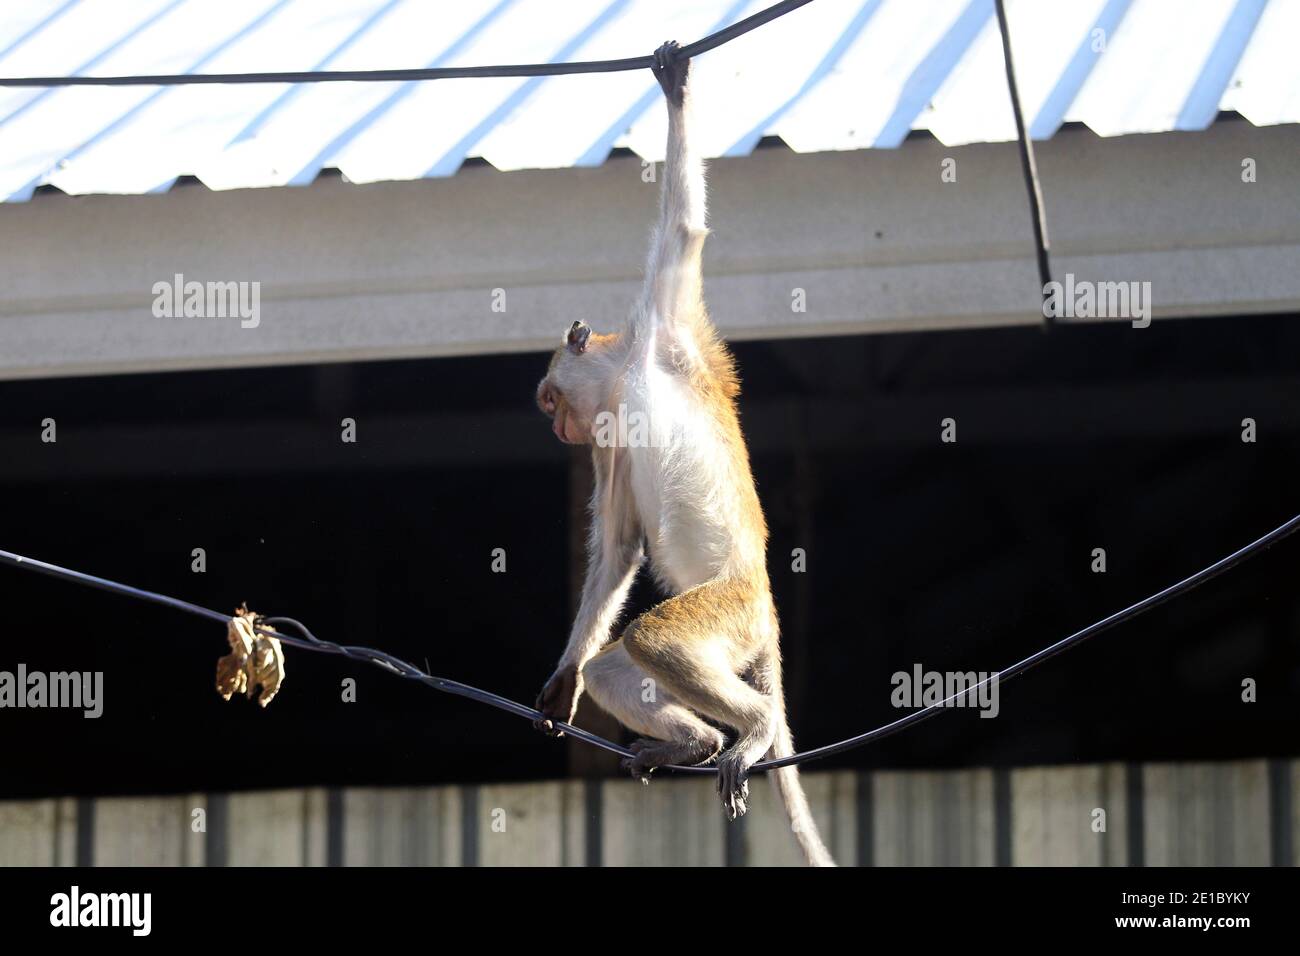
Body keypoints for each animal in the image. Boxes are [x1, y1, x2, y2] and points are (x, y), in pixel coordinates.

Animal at [533, 42, 835, 867]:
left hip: (732, 612)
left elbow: (685, 227)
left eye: (548, 400)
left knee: (656, 637)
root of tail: (765, 606)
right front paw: (565, 675)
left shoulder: (665, 317)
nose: (554, 426)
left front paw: (675, 91)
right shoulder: (607, 440)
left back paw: (752, 726)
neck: (629, 367)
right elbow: (617, 551)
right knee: (620, 662)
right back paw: (693, 742)